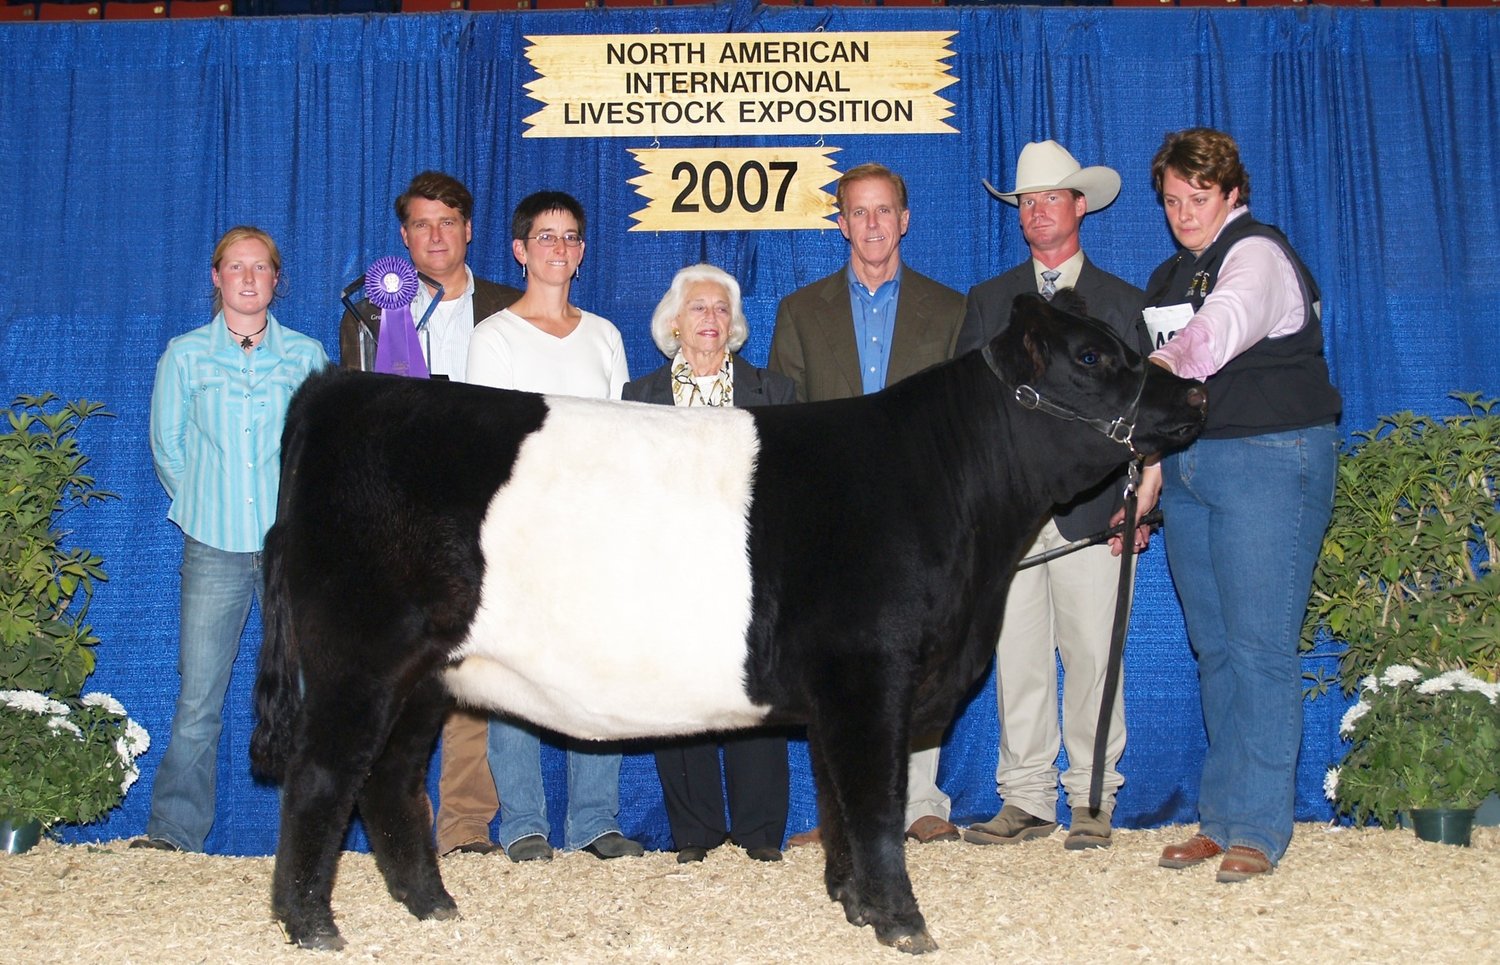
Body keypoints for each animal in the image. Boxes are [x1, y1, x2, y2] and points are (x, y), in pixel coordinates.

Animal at [250, 292, 1206, 954]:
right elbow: (878, 803)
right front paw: (904, 922)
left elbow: (840, 798)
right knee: (324, 777)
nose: (1195, 392)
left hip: (425, 674)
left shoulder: (839, 693)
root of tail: (341, 389)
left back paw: (433, 905)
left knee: (389, 779)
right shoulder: (872, 672)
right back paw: (311, 925)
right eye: (1093, 353)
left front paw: (852, 903)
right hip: (357, 661)